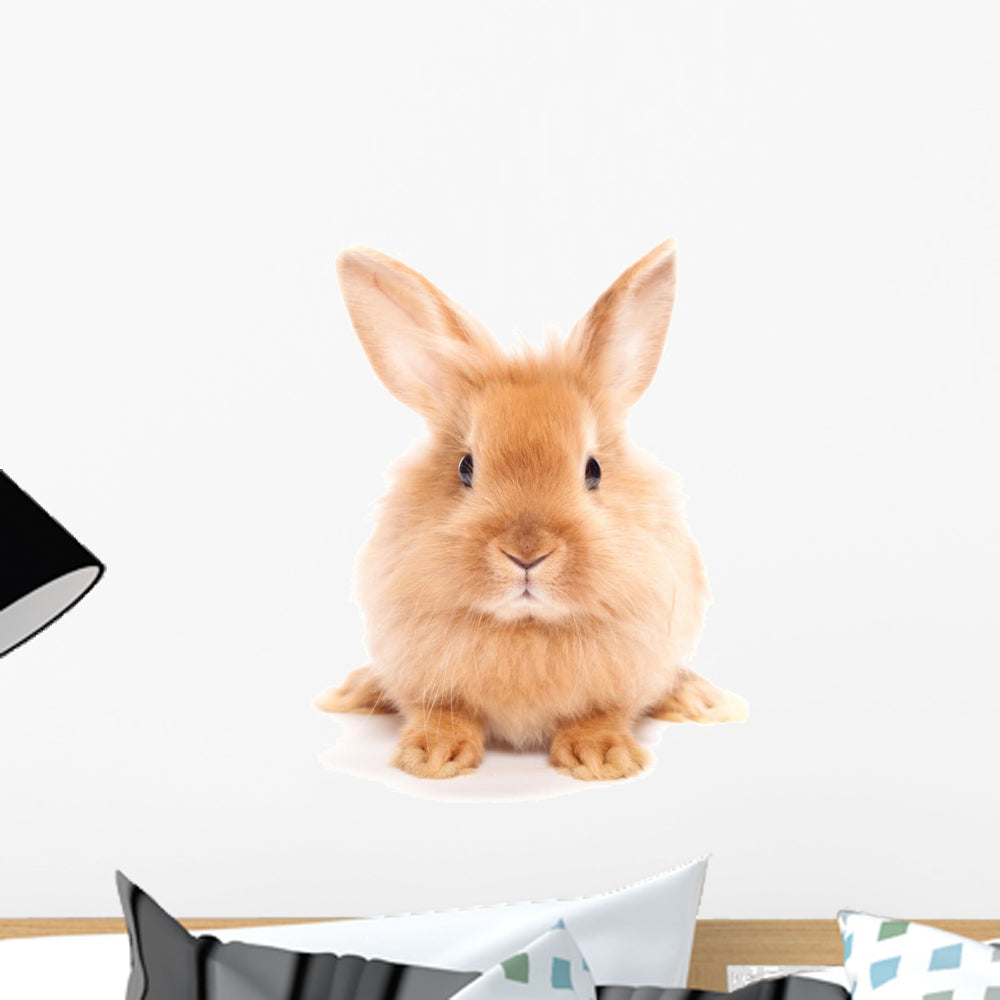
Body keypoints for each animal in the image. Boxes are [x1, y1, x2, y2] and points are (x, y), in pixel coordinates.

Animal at [314, 240, 748, 781]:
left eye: (593, 470)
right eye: (465, 467)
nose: (526, 554)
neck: (525, 628)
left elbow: (603, 712)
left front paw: (601, 758)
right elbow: (442, 711)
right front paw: (431, 757)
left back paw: (700, 700)